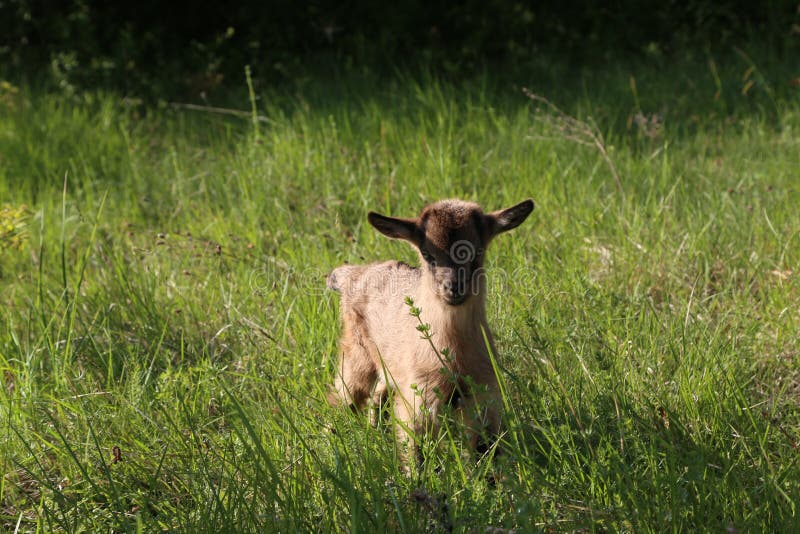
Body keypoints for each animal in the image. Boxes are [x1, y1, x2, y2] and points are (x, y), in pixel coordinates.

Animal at [326, 198, 534, 464]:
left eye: (477, 252)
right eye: (427, 254)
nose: (453, 287)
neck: (452, 354)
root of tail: (353, 274)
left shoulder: (484, 396)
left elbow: (487, 452)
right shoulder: (419, 400)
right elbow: (418, 455)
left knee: (379, 395)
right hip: (356, 355)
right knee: (341, 398)